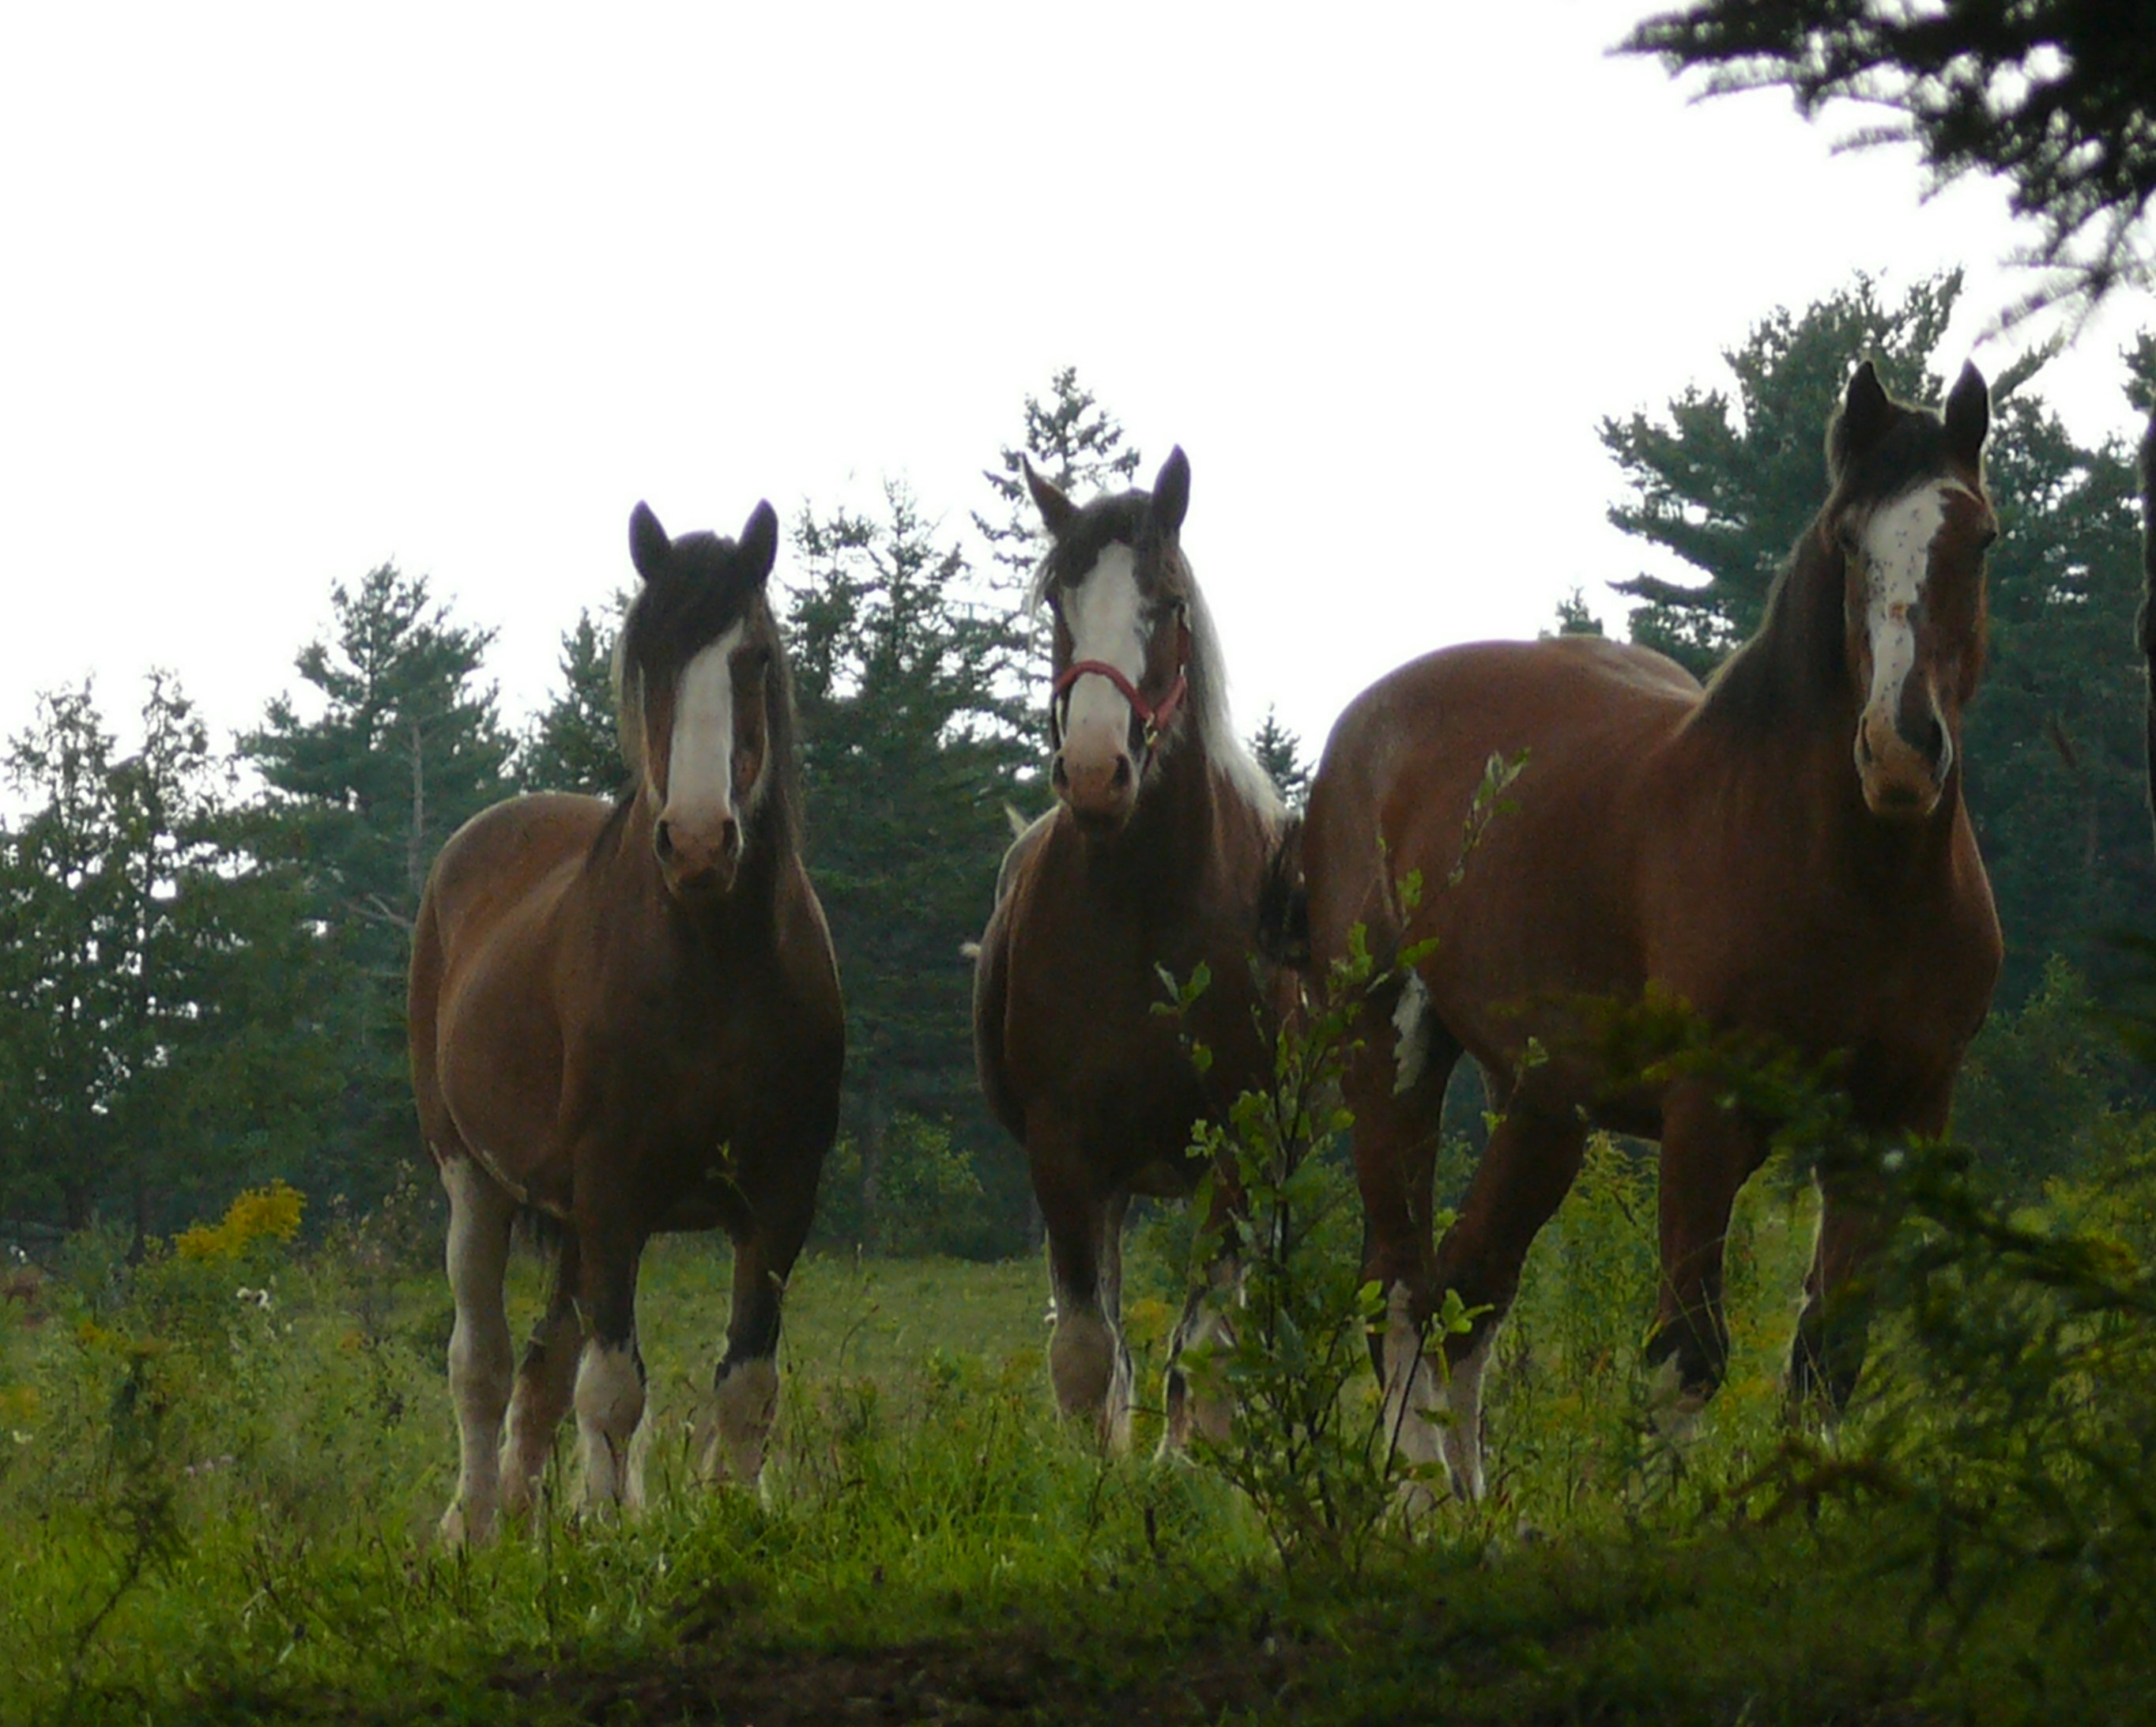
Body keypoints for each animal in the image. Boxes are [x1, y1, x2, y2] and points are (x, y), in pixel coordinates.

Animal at [408, 498, 843, 1543]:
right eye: (648, 654)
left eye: (752, 656)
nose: (697, 841)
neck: (714, 961)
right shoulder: (614, 1192)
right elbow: (612, 1389)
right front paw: (607, 1539)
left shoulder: (781, 1197)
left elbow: (746, 1383)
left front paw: (731, 1520)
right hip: (472, 1178)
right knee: (482, 1363)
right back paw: (472, 1526)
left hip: (570, 1220)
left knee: (538, 1369)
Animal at [973, 447, 1291, 1449]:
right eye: (1057, 600)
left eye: (1169, 601)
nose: (1092, 771)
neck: (1149, 911)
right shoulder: (1065, 1153)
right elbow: (1087, 1356)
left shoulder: (1236, 1143)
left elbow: (1208, 1358)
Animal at [1292, 362, 2002, 1499]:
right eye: (1851, 540)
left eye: (1977, 539)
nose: (1900, 749)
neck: (1853, 879)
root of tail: (1363, 727)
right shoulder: (1707, 1114)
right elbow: (1687, 1357)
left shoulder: (1895, 1121)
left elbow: (1829, 1358)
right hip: (1387, 1051)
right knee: (1398, 1291)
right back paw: (1415, 1507)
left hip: (1543, 1107)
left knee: (1464, 1298)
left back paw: (1467, 1511)